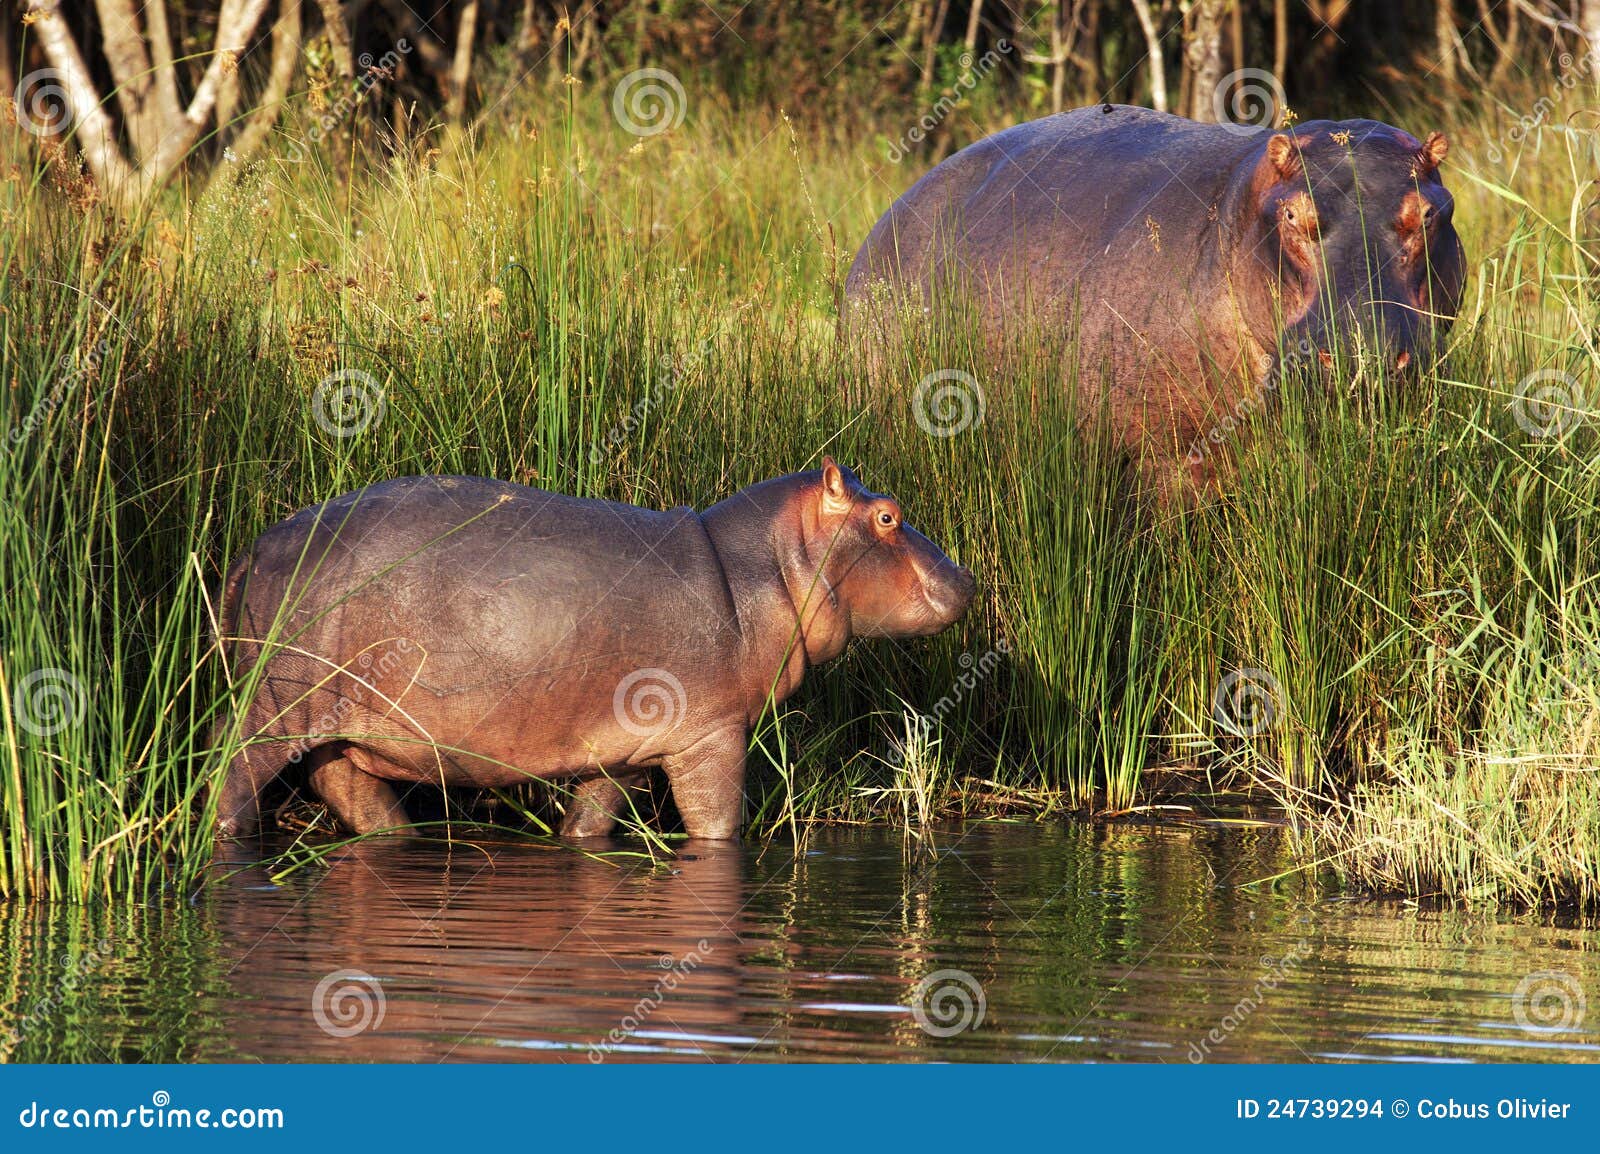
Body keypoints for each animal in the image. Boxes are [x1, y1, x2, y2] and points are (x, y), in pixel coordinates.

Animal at [213, 461, 975, 840]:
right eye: (888, 516)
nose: (968, 576)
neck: (767, 566)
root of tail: (250, 551)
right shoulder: (710, 733)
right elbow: (716, 824)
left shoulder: (630, 746)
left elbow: (589, 820)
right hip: (273, 707)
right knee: (232, 777)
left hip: (338, 724)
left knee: (349, 786)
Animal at [845, 105, 1466, 494]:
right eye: (1292, 215)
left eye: (1429, 212)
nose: (1368, 357)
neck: (1237, 210)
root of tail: (887, 217)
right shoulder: (1165, 461)